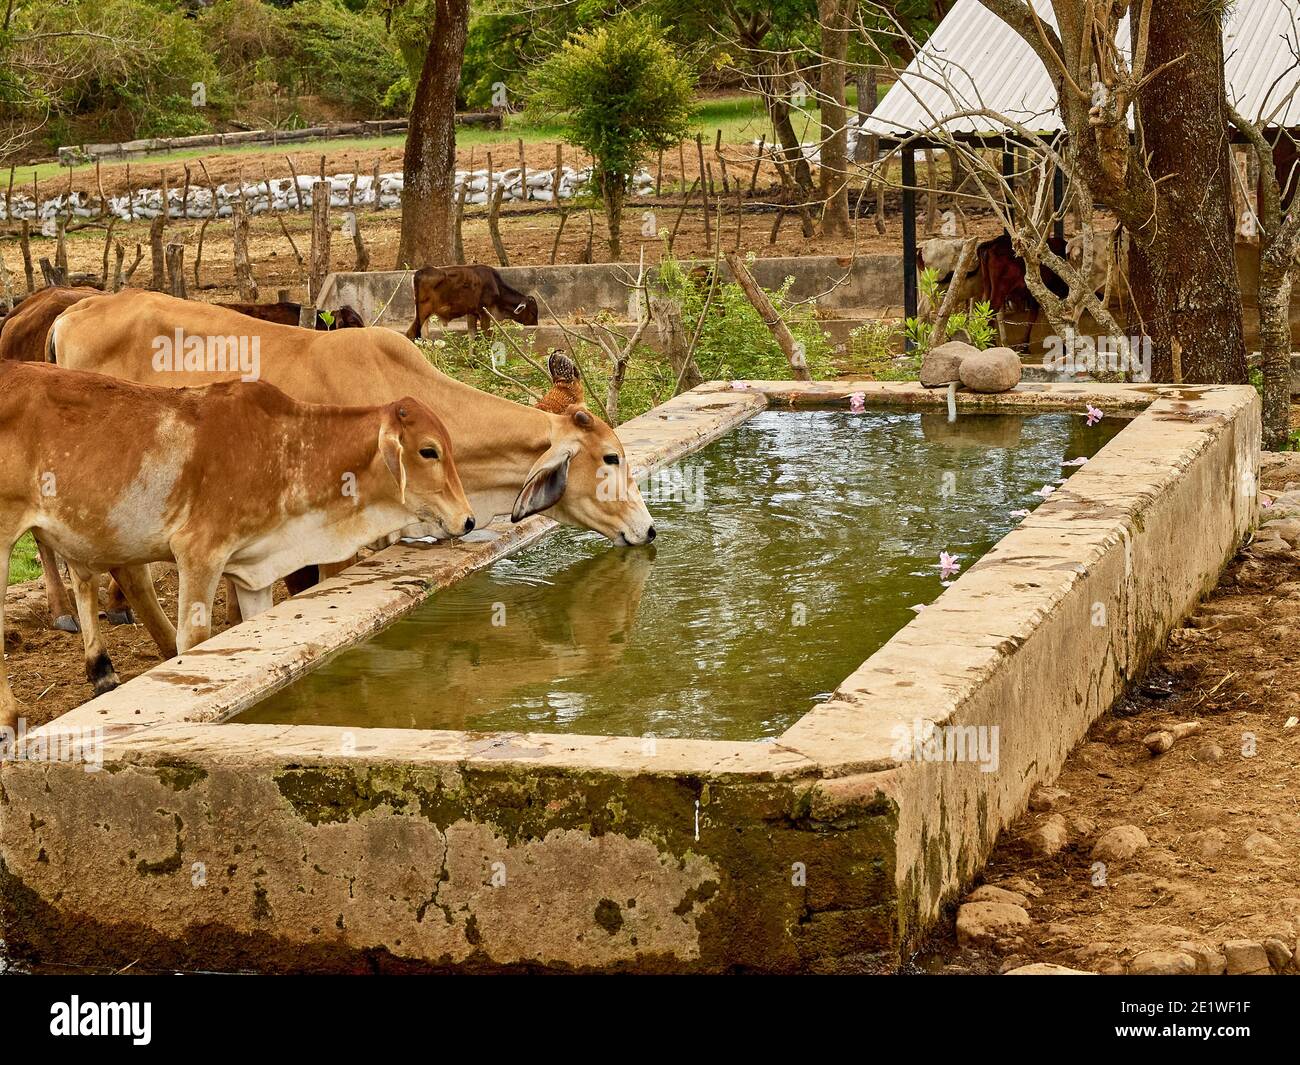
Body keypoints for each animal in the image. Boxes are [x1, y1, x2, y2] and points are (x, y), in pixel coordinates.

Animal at [0, 360, 474, 727]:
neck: (286, 451)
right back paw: (13, 716)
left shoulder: (254, 573)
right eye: (428, 451)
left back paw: (103, 673)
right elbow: (195, 641)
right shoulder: (198, 554)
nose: (468, 520)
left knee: (87, 578)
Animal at [407, 265, 539, 340]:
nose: (536, 326)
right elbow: (487, 335)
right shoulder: (485, 312)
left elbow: (472, 335)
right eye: (533, 313)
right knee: (414, 334)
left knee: (421, 336)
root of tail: (418, 273)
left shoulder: (471, 312)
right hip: (423, 311)